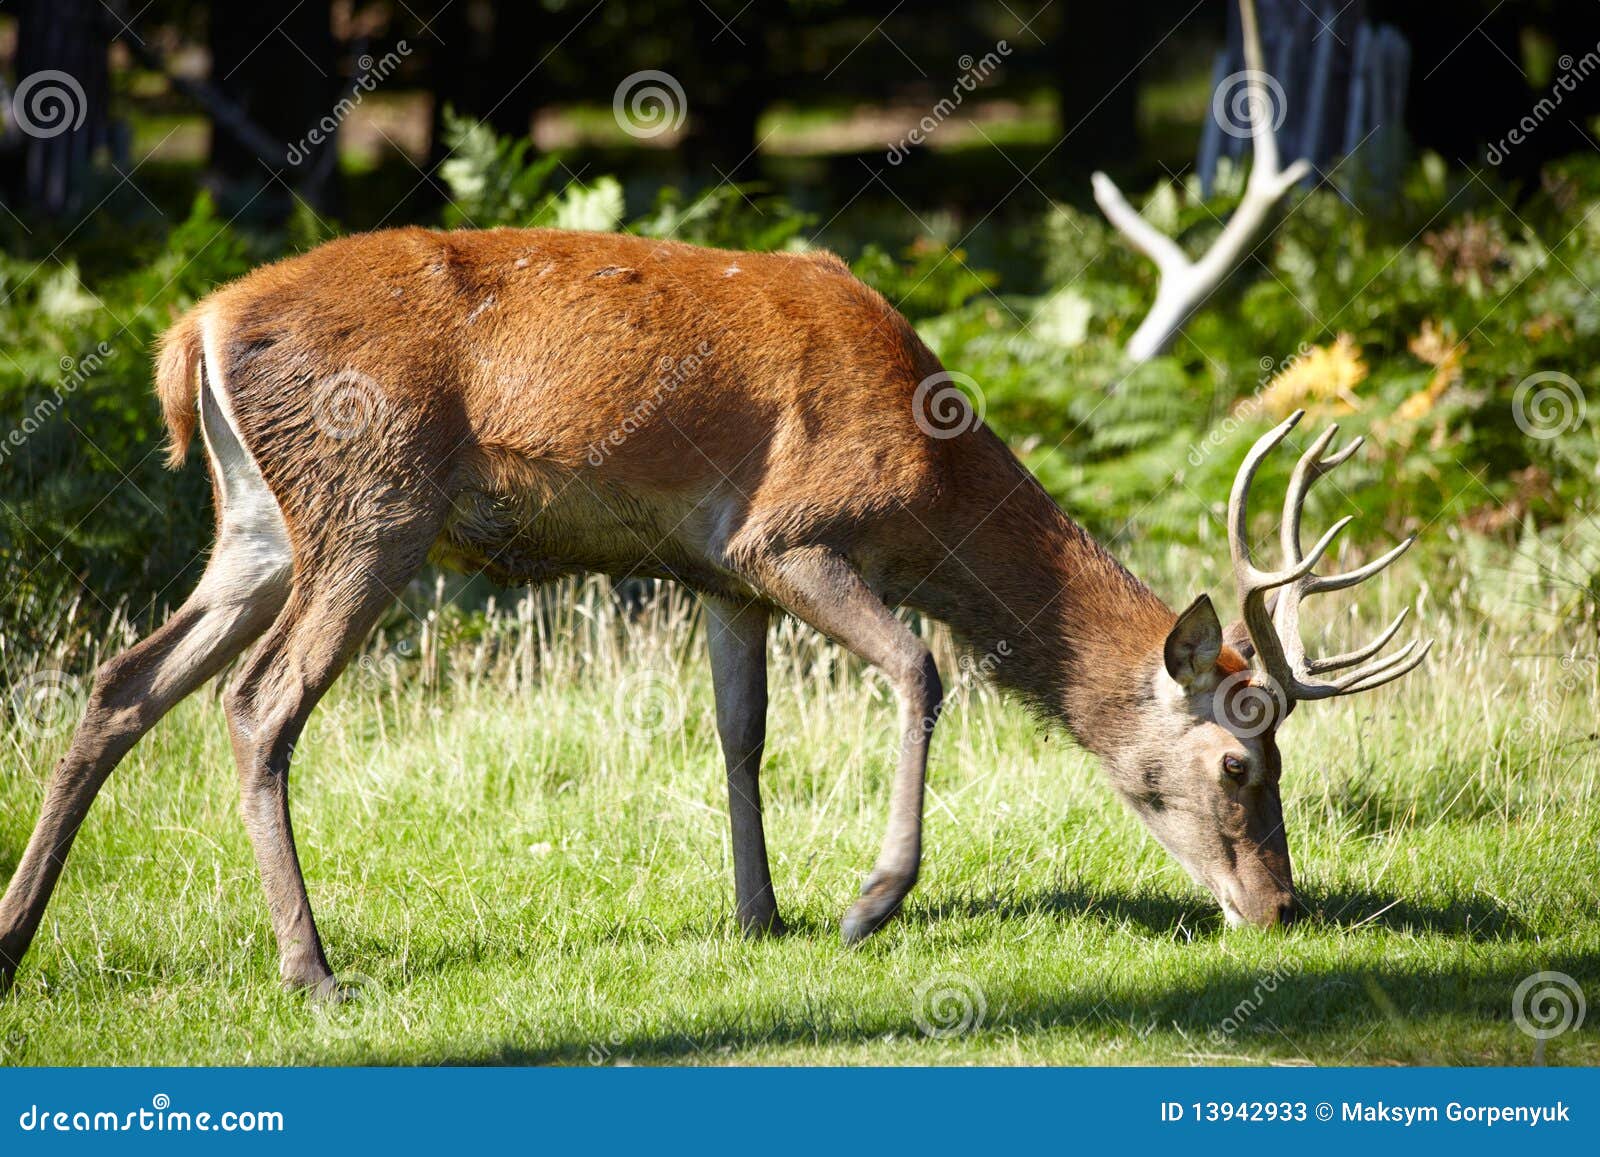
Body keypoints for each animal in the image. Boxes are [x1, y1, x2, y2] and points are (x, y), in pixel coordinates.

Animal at [0, 226, 1429, 997]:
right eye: (1241, 758)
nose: (1279, 908)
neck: (930, 475)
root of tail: (189, 331)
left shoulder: (716, 574)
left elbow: (740, 736)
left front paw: (761, 913)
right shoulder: (782, 532)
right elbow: (920, 670)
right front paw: (866, 901)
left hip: (255, 523)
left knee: (124, 682)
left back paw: (16, 938)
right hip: (371, 503)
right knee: (256, 705)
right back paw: (310, 967)